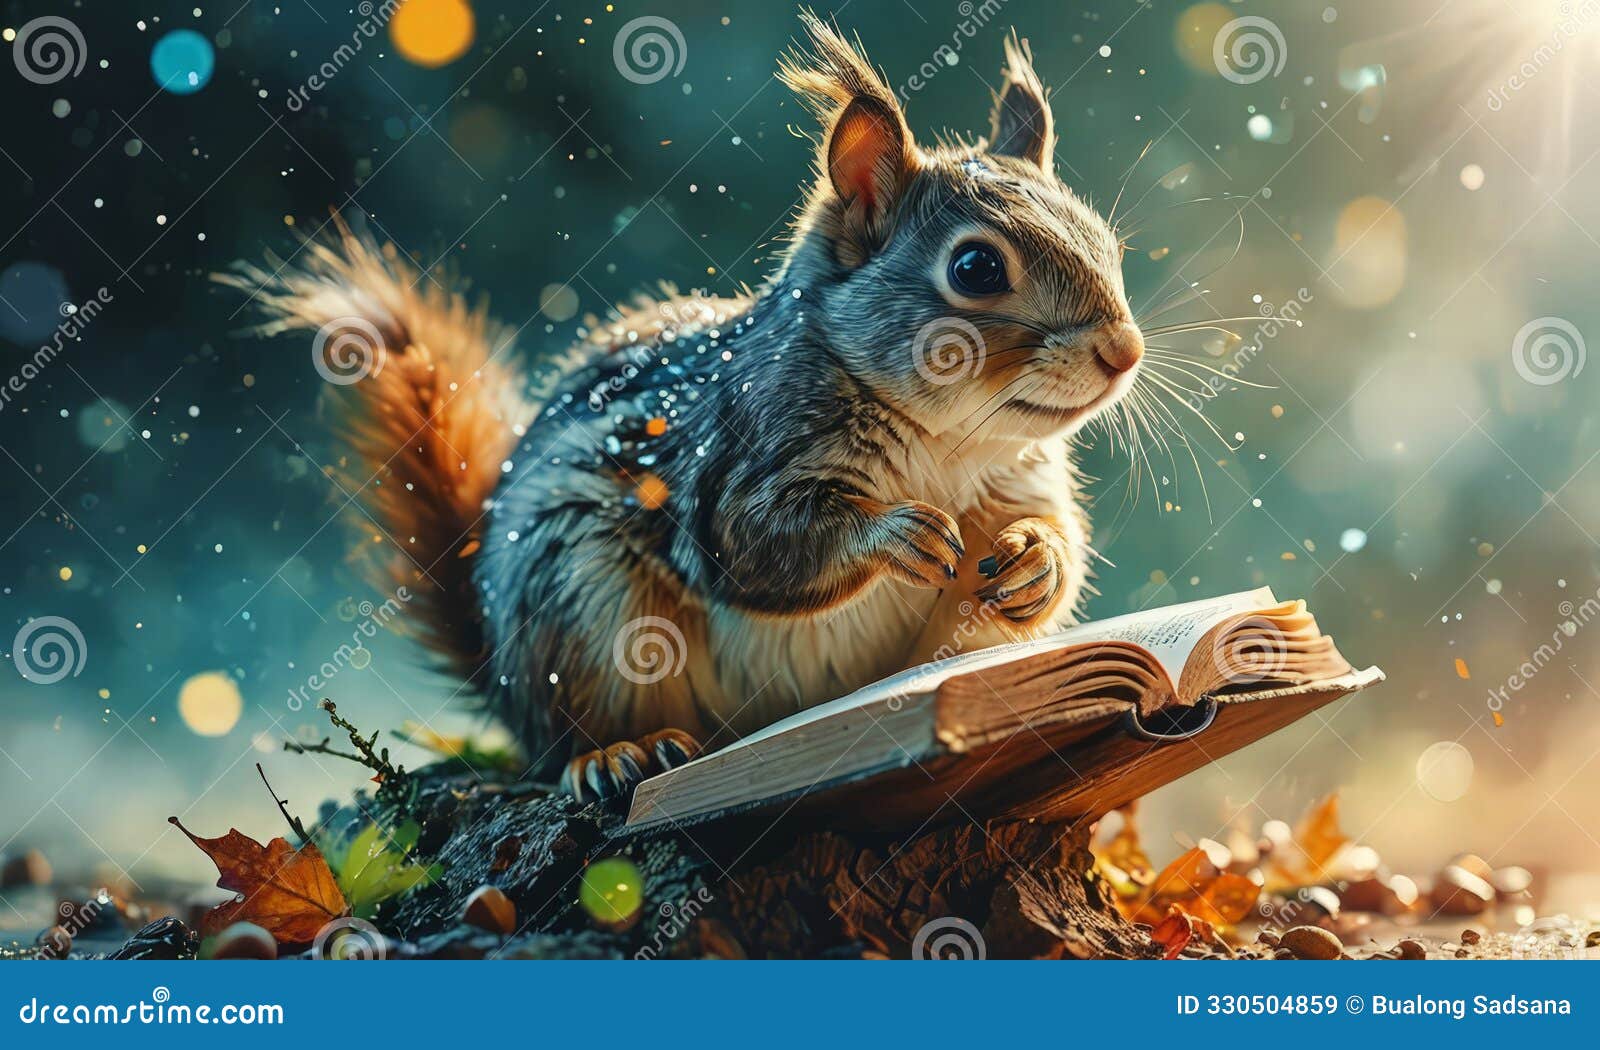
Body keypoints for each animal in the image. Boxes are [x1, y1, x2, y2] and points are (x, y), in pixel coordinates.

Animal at [225, 15, 1145, 802]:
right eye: (976, 269)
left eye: (1107, 243)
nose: (1125, 352)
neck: (951, 443)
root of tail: (502, 674)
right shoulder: (730, 459)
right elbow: (758, 545)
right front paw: (888, 534)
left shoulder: (1017, 483)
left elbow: (1047, 546)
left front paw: (1036, 561)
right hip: (578, 600)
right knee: (574, 733)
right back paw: (619, 754)